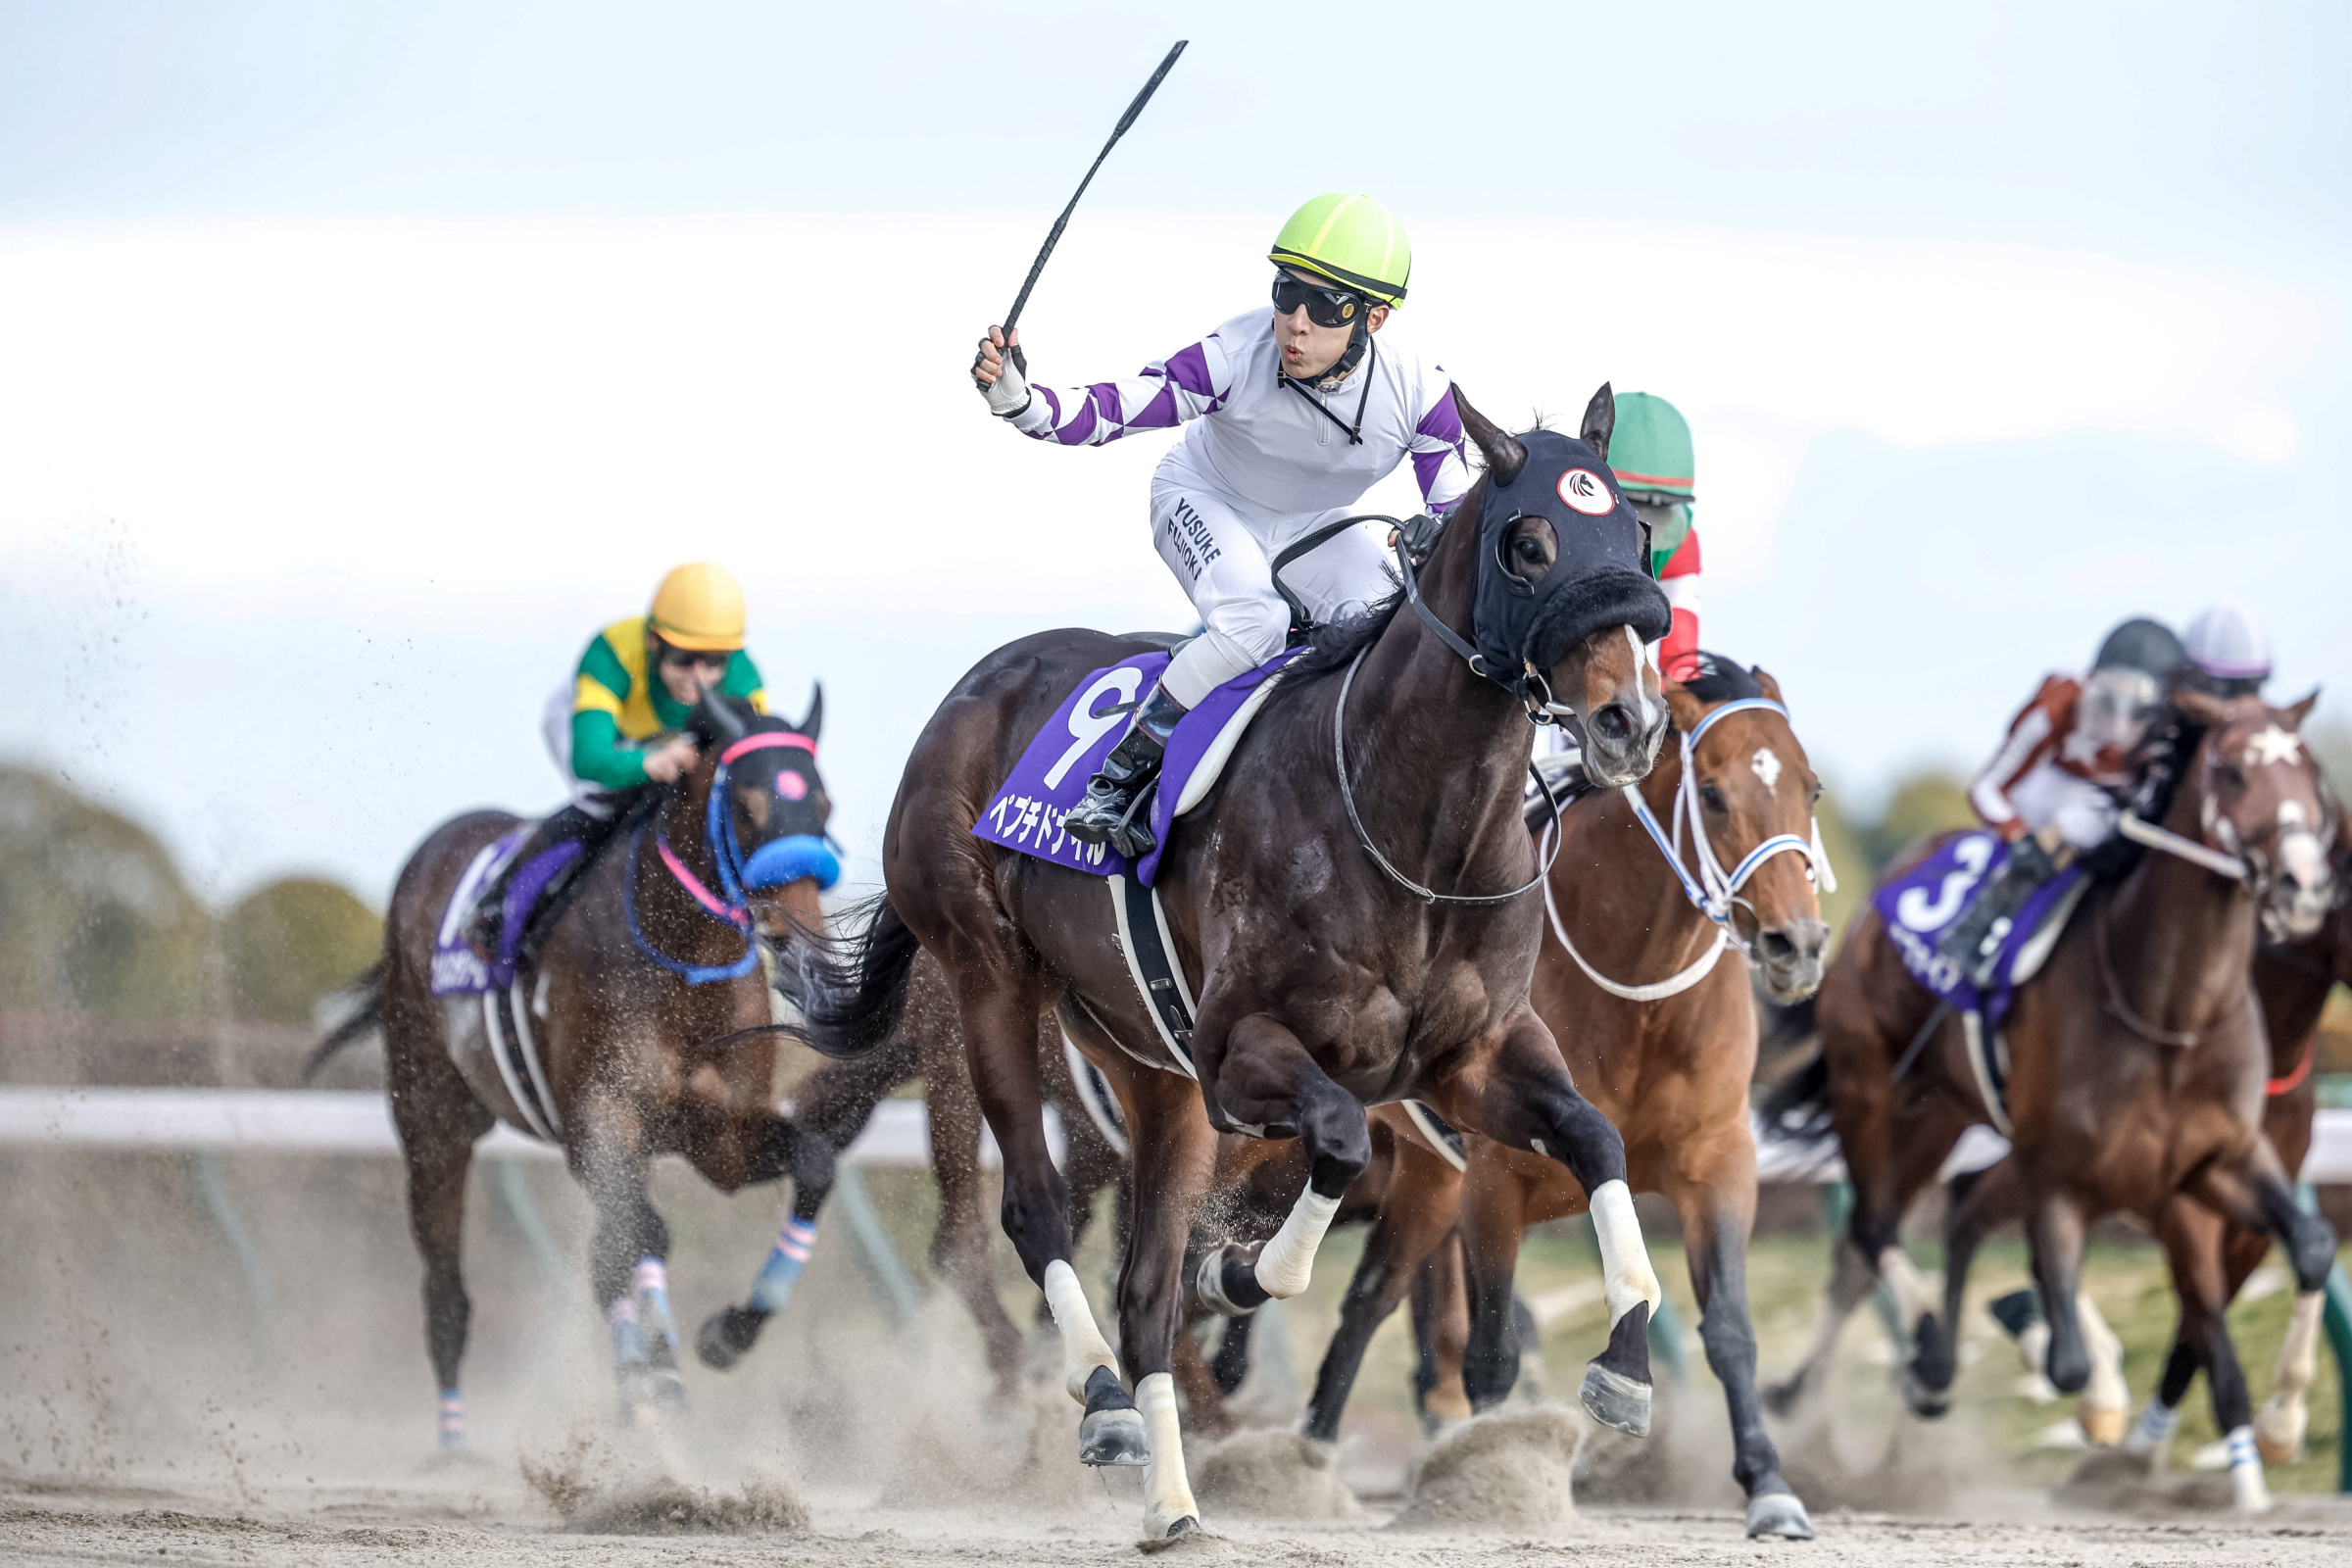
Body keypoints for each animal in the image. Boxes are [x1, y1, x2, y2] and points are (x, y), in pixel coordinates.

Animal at [309, 692, 849, 1442]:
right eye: (746, 807)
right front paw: (663, 1374)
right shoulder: (600, 1123)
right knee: (447, 1286)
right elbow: (643, 1236)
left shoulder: (721, 1134)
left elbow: (815, 1163)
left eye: (824, 806)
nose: (802, 941)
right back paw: (456, 1442)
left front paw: (726, 1335)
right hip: (433, 1124)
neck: (681, 964)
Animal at [777, 387, 1679, 1540]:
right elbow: (1335, 1143)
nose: (1629, 720)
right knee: (1031, 1208)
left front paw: (1624, 1366)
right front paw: (1245, 1273)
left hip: (1147, 1065)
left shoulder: (1470, 1057)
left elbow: (1595, 1136)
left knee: (1145, 1285)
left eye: (1636, 540)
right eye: (1532, 544)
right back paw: (1103, 1394)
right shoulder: (1245, 1054)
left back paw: (1169, 1500)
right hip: (990, 979)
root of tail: (977, 685)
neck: (1413, 823)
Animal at [1284, 657, 1832, 1539]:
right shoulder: (1498, 1175)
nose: (1798, 946)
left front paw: (1770, 1485)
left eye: (1810, 789)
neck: (1636, 994)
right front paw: (1497, 1480)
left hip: (1427, 1178)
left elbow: (1730, 1329)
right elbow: (1493, 1350)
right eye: (1714, 795)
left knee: (1369, 1299)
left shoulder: (1719, 1161)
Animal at [1766, 690, 2337, 1511]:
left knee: (1907, 1234)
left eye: (2311, 773)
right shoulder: (2070, 1177)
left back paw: (1846, 1391)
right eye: (2231, 771)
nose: (2304, 884)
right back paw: (1917, 1365)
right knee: (1876, 1229)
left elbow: (2312, 1247)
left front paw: (2283, 1424)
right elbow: (2068, 1352)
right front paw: (2087, 1390)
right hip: (1872, 1093)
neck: (2171, 1011)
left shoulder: (2219, 1160)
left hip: (1940, 1115)